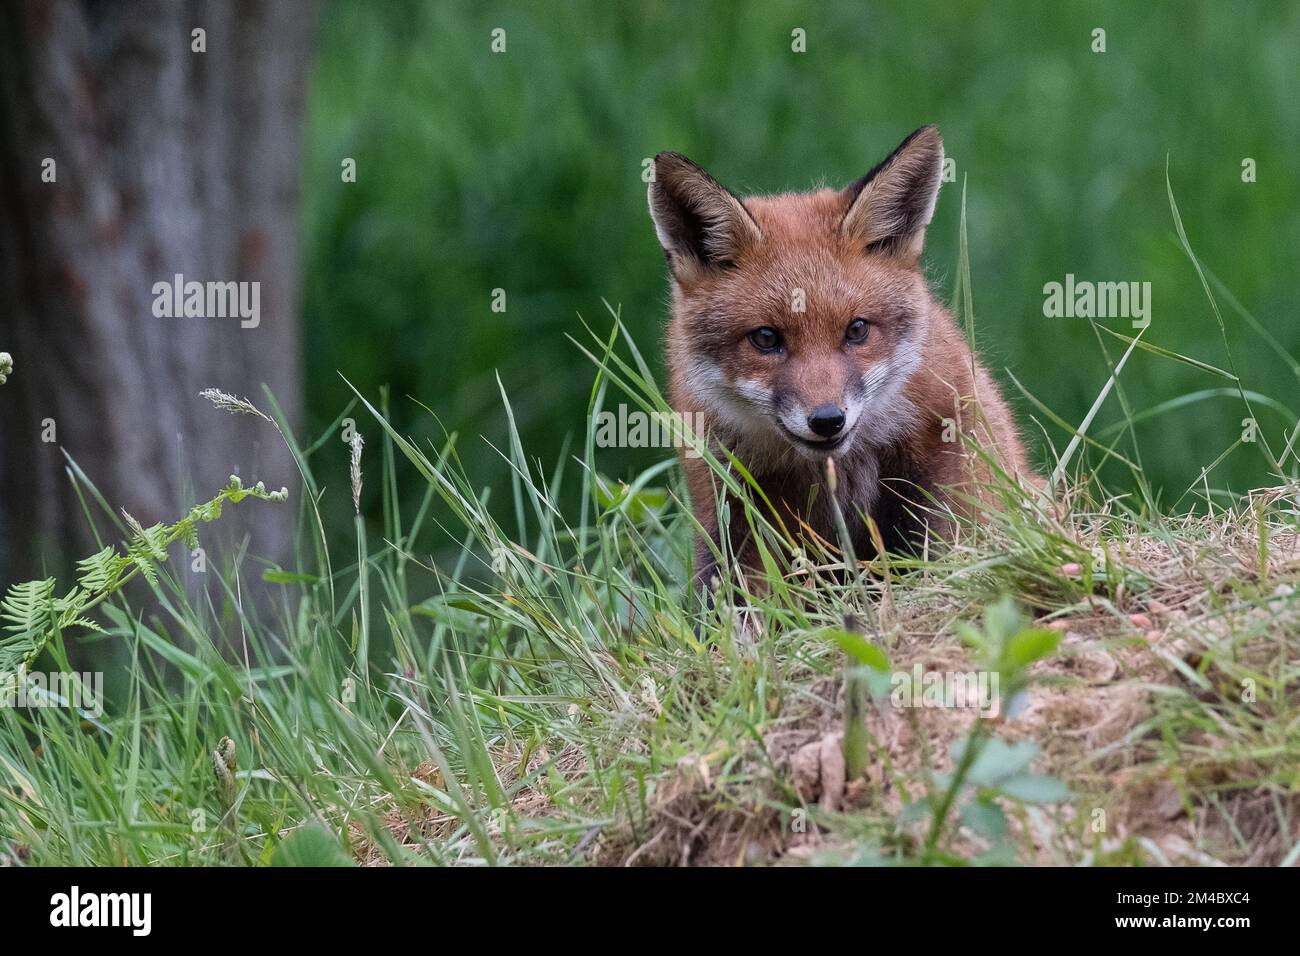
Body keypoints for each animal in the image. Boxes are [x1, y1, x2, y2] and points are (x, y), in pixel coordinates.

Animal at [647, 125, 1038, 594]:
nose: (827, 420)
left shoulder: (939, 466)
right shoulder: (727, 503)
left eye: (856, 330)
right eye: (766, 338)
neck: (833, 470)